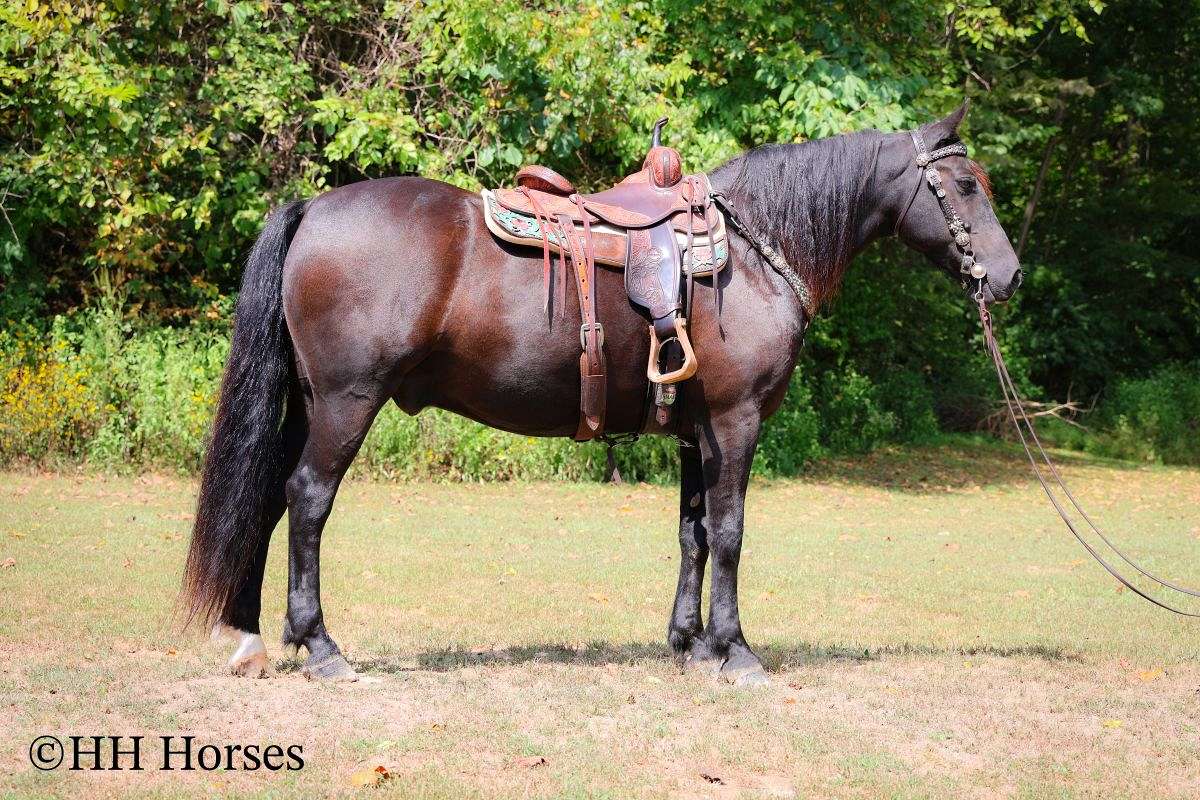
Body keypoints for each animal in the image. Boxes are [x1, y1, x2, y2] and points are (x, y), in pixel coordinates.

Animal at [182, 102, 1022, 686]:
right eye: (965, 184)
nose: (1009, 277)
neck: (754, 252)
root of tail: (312, 209)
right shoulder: (737, 421)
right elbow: (731, 533)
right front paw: (737, 651)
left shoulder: (696, 431)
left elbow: (693, 534)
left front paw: (691, 646)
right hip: (347, 402)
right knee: (308, 499)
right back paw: (321, 645)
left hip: (307, 403)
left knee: (269, 495)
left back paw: (253, 636)